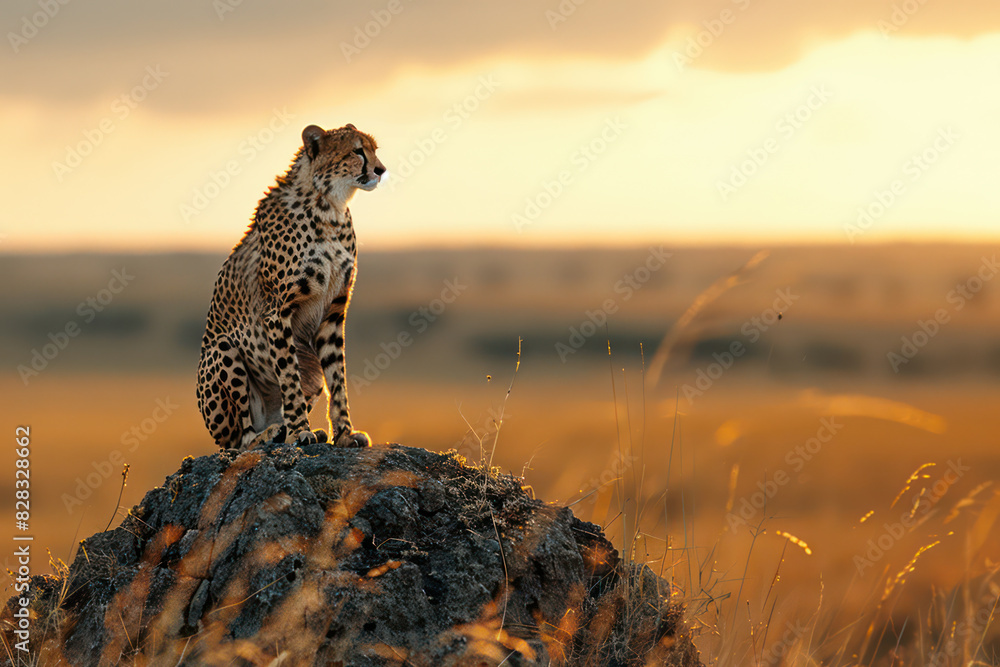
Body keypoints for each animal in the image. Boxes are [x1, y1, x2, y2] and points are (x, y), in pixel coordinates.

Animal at [197, 123, 385, 450]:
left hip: (312, 368)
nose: (381, 170)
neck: (330, 208)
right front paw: (299, 432)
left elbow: (338, 379)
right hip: (222, 350)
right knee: (240, 440)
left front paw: (344, 434)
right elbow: (288, 377)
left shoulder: (333, 313)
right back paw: (271, 434)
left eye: (374, 150)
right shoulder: (277, 313)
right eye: (357, 151)